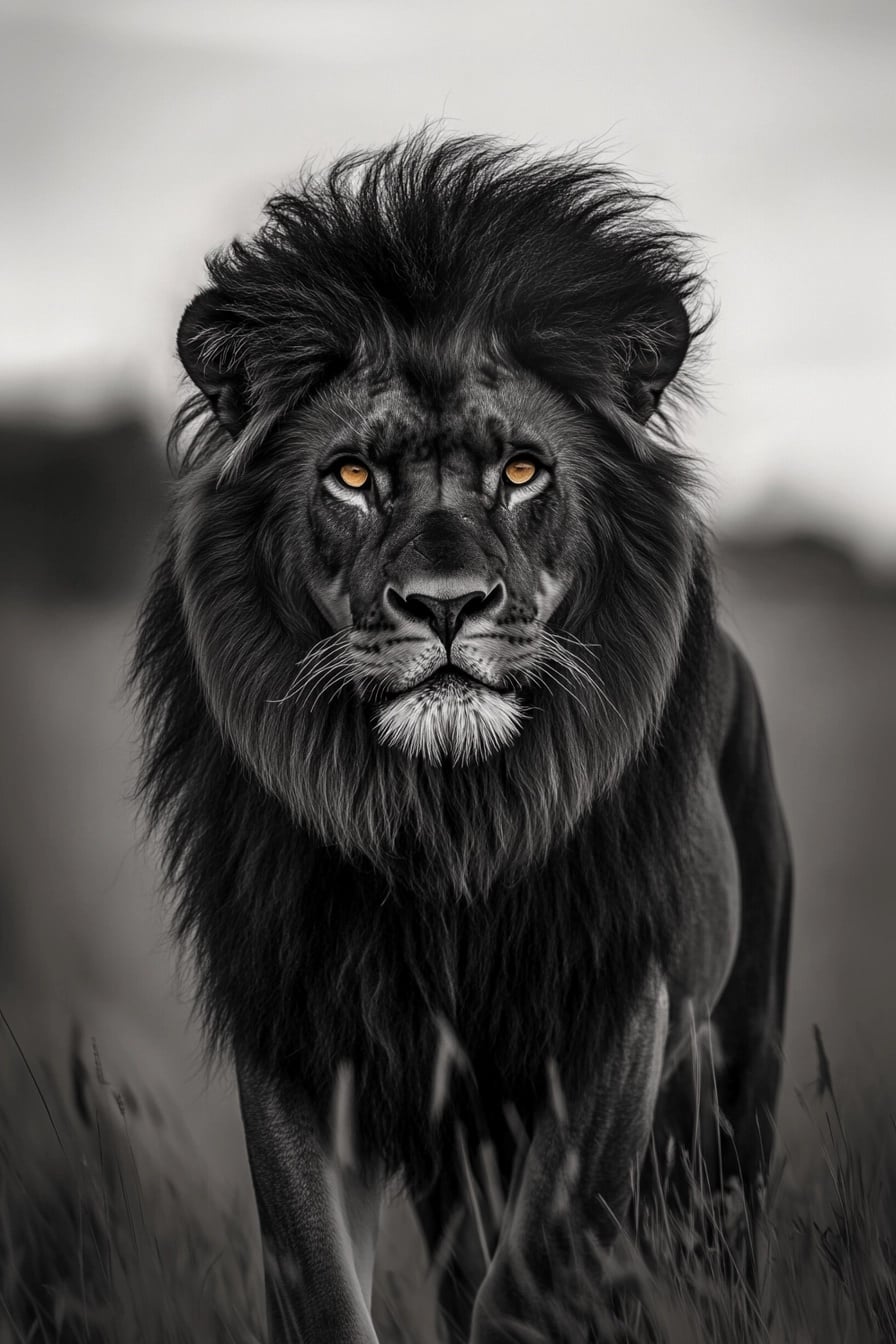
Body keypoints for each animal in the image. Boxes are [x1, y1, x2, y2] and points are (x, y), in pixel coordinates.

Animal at [133, 134, 792, 1343]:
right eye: (352, 476)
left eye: (520, 470)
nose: (446, 604)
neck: (446, 823)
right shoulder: (297, 1033)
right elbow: (321, 1288)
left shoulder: (617, 1016)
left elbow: (530, 1277)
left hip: (731, 1085)